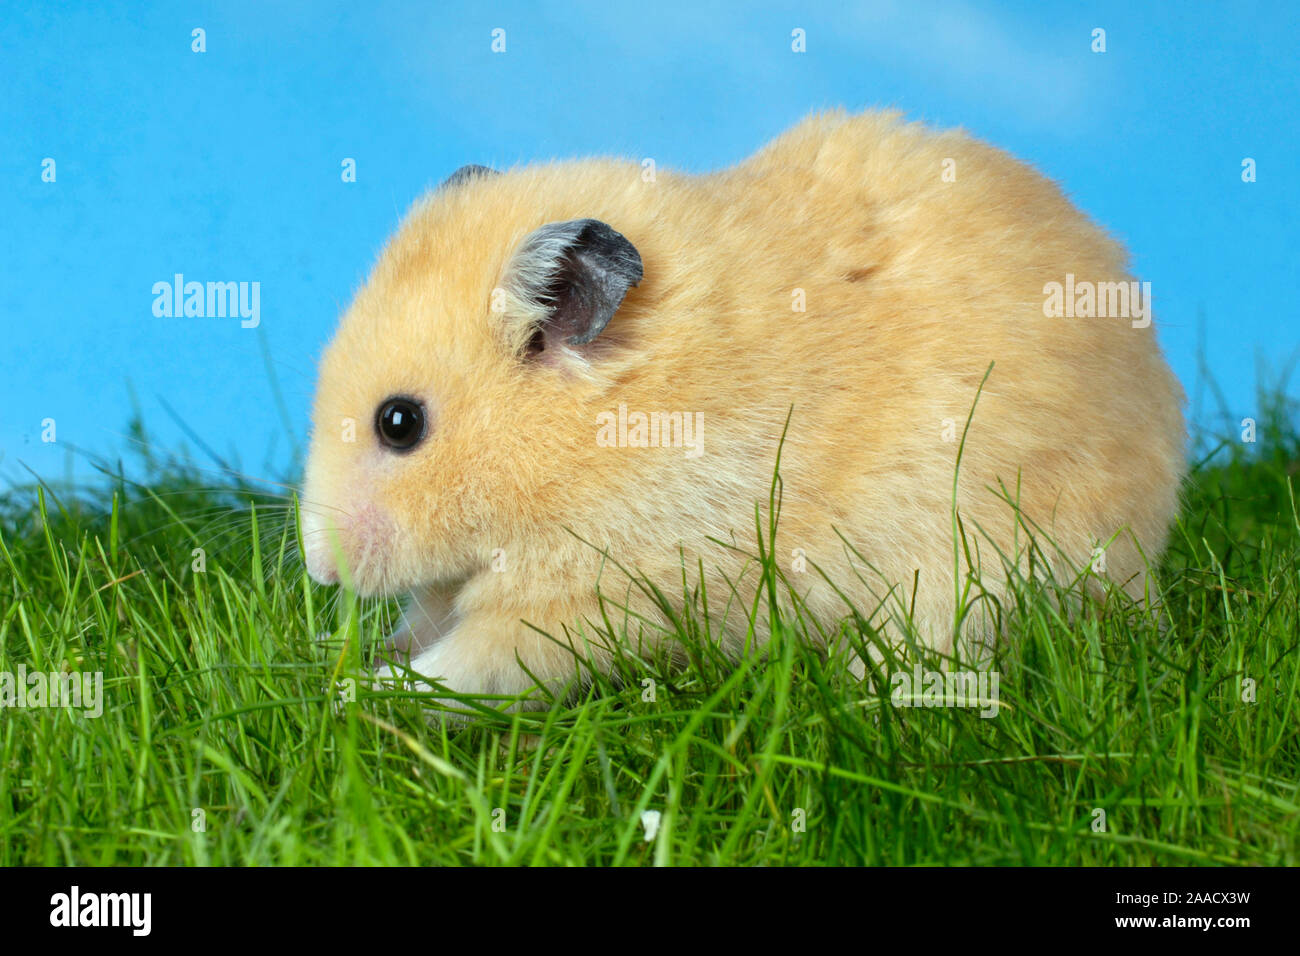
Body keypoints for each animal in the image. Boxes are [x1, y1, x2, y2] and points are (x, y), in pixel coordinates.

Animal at [300, 109, 1186, 704]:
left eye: (400, 423)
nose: (318, 569)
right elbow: (422, 626)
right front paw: (349, 657)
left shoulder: (590, 601)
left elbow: (467, 667)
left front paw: (358, 696)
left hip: (972, 568)